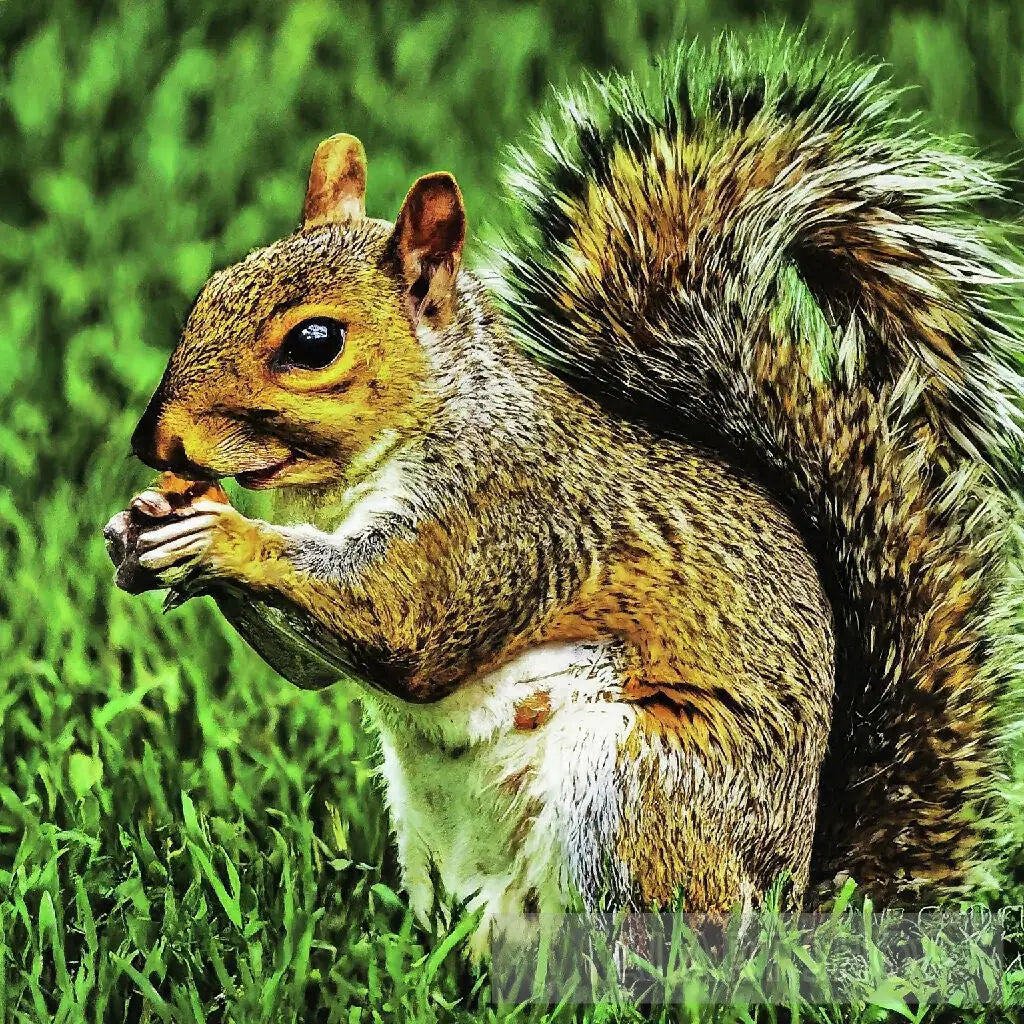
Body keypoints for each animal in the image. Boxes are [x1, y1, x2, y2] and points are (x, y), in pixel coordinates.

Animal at [104, 36, 1024, 945]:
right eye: (211, 290)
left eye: (314, 343)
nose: (155, 441)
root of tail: (790, 914)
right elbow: (310, 667)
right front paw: (141, 530)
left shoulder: (507, 516)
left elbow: (406, 626)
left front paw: (220, 535)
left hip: (640, 790)